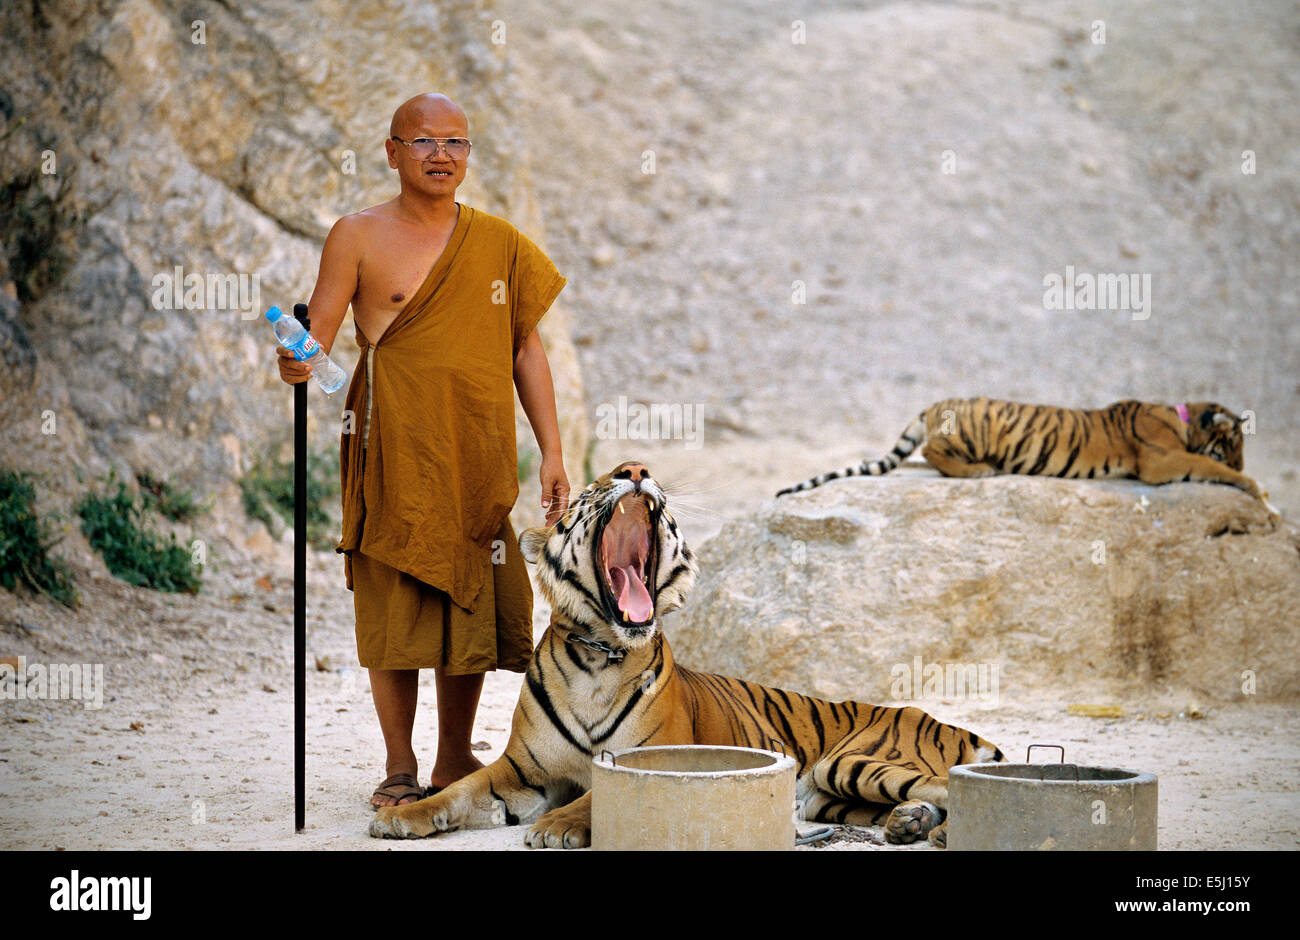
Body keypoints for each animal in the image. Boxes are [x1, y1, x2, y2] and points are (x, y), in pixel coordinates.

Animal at [369, 460, 1005, 849]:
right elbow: (457, 791)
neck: (601, 655)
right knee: (925, 798)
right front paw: (399, 815)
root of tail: (938, 719)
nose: (634, 470)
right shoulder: (519, 770)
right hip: (834, 800)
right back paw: (909, 824)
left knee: (948, 785)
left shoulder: (649, 756)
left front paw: (557, 826)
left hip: (849, 763)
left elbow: (592, 795)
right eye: (589, 490)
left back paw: (938, 829)